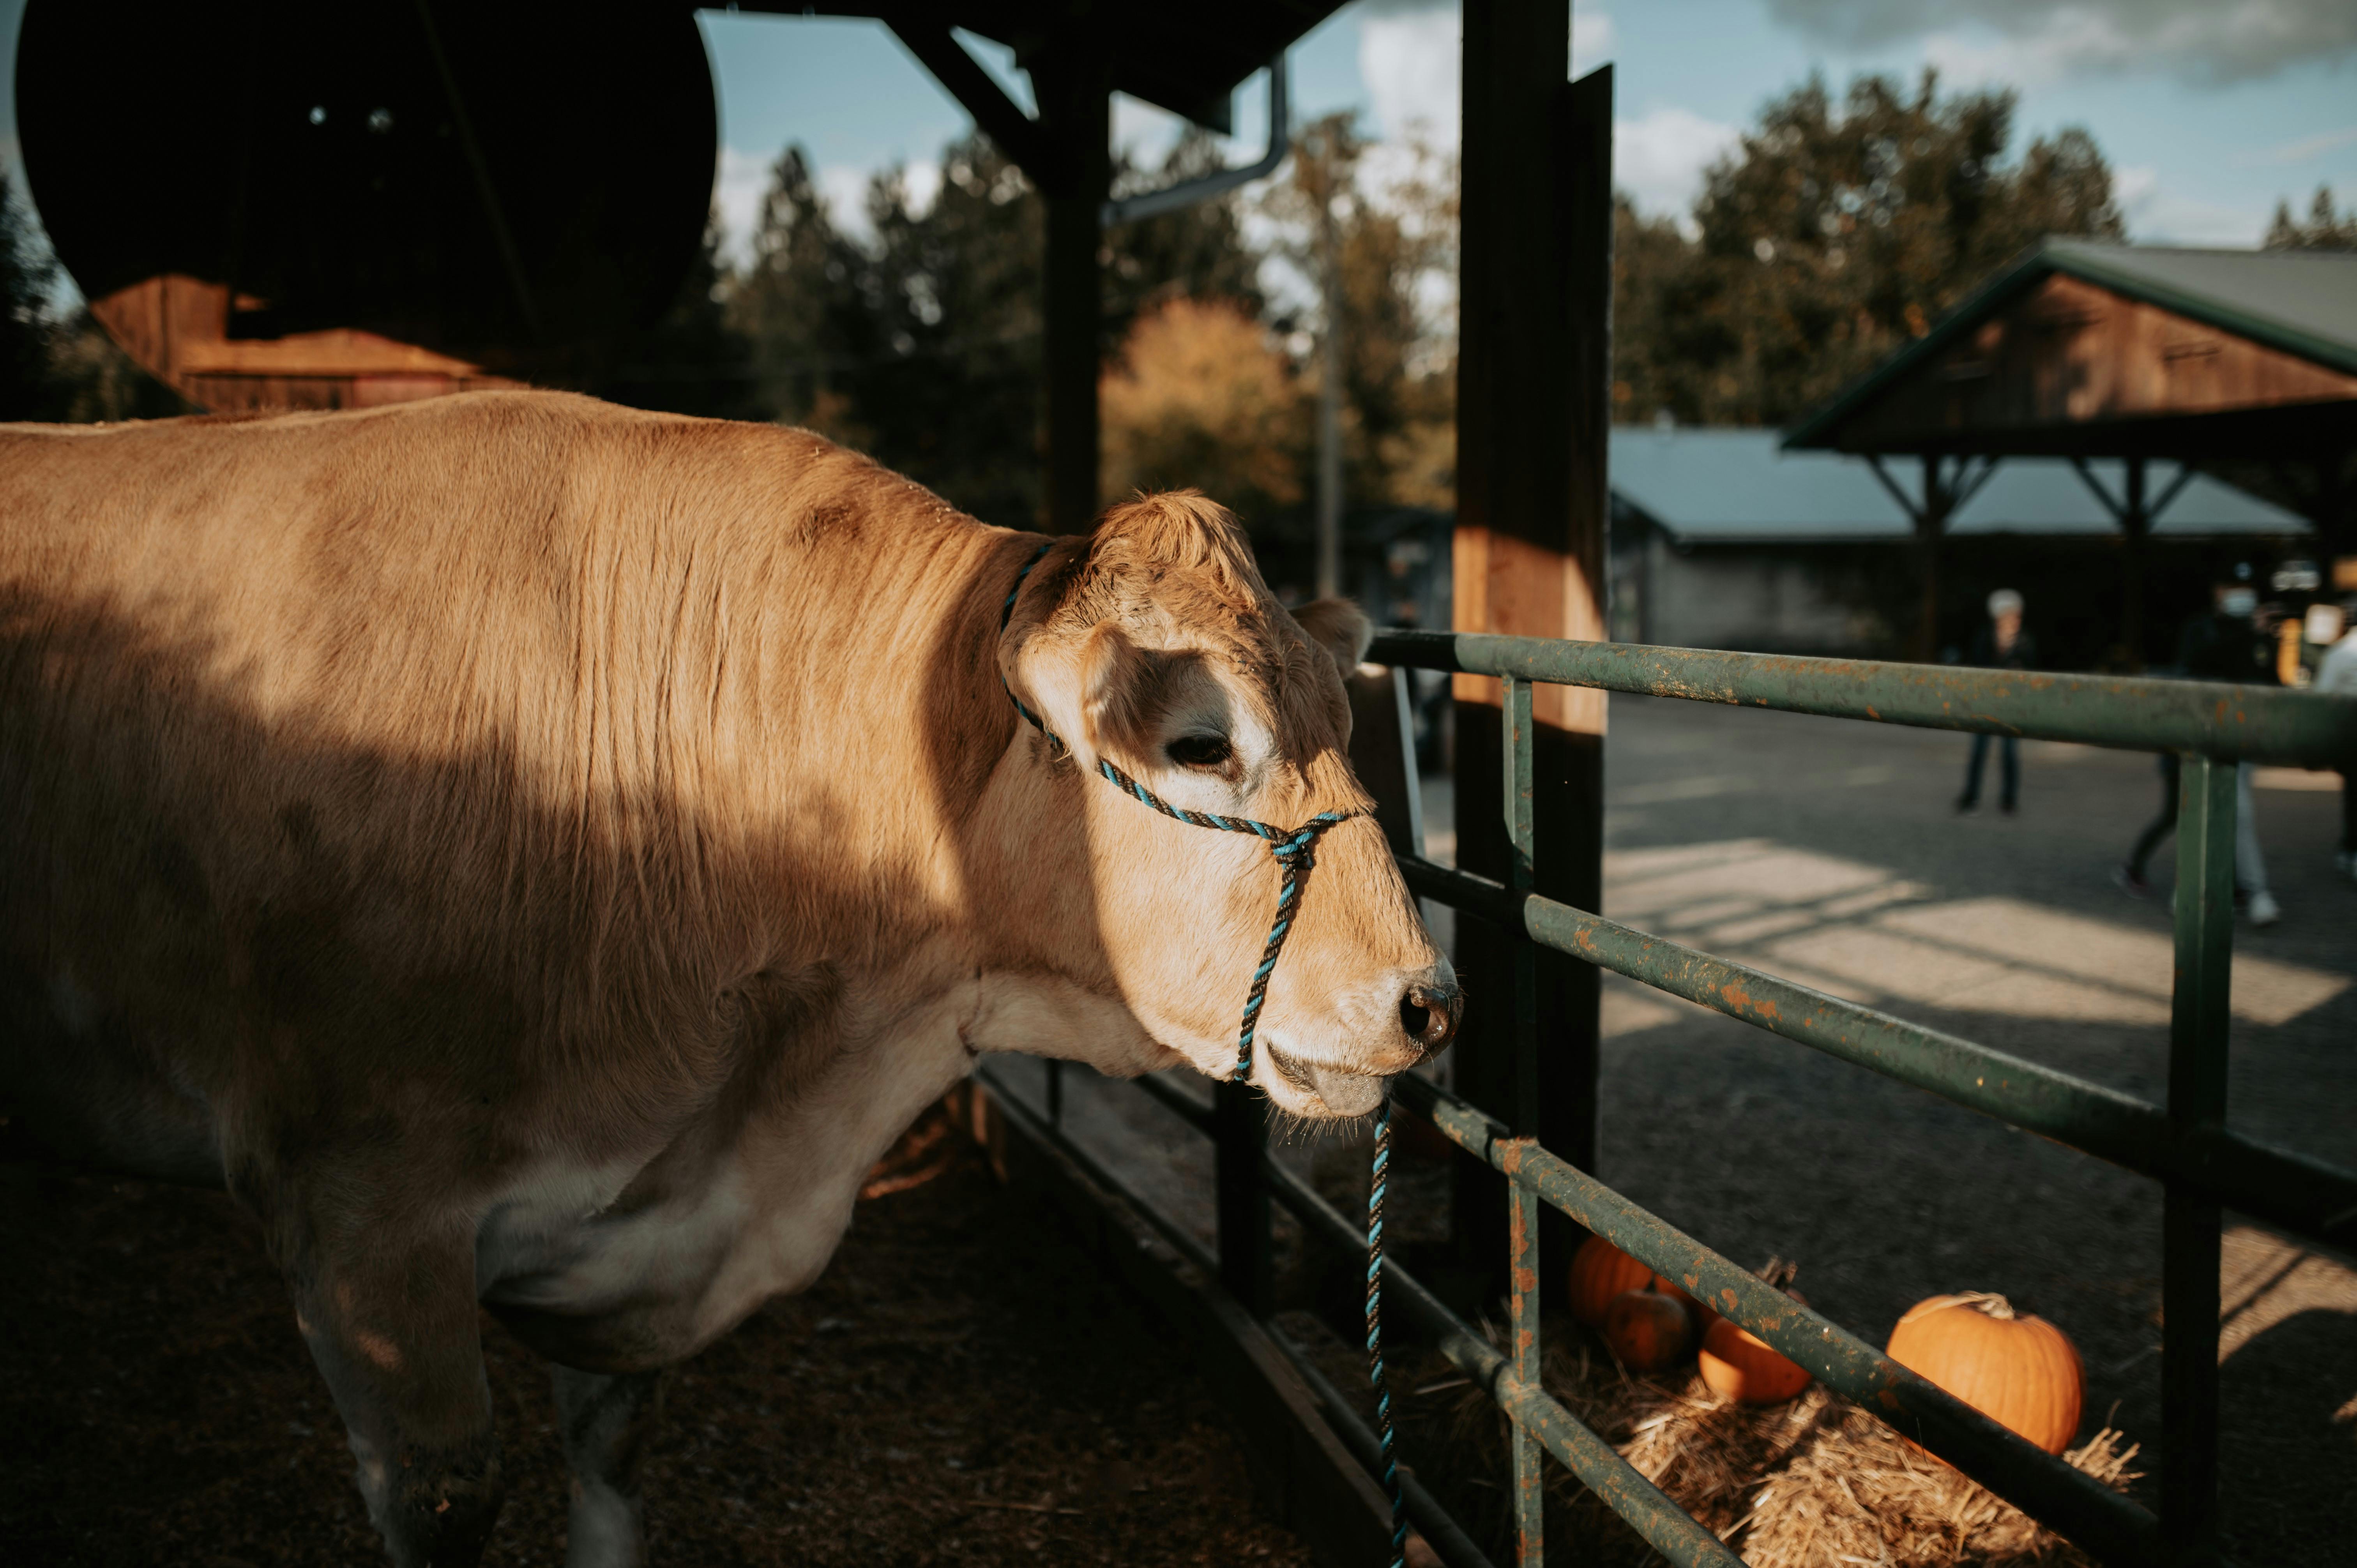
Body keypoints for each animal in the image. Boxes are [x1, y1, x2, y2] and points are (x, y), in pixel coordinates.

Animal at [0, 391, 1458, 1567]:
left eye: (1343, 710)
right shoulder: (362, 1209)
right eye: (1202, 740)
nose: (1428, 1001)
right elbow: (450, 1498)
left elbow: (613, 1448)